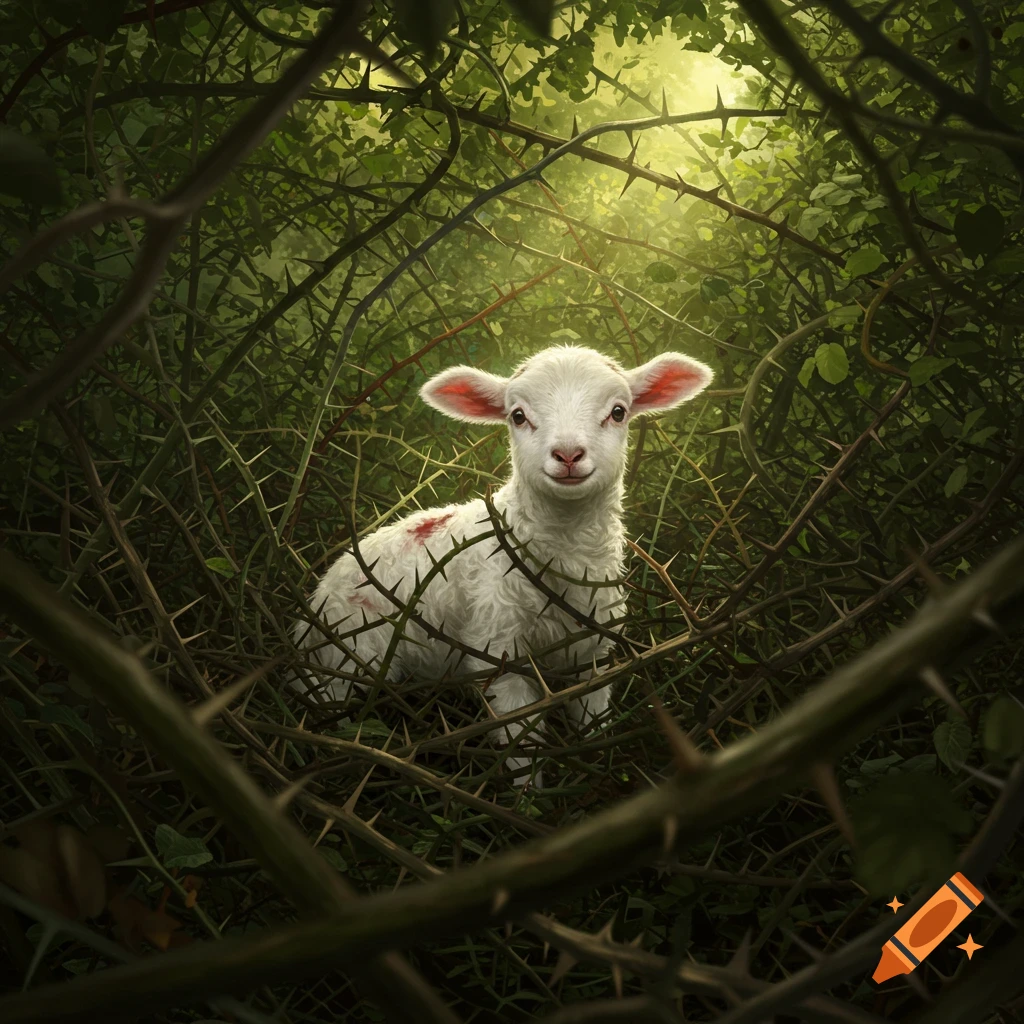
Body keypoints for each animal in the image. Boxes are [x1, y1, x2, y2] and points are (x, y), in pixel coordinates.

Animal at [293, 344, 713, 787]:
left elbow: (593, 721)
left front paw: (600, 771)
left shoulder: (594, 653)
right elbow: (521, 743)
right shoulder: (497, 651)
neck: (560, 564)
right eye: (518, 415)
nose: (568, 455)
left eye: (618, 412)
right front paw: (527, 795)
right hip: (345, 660)